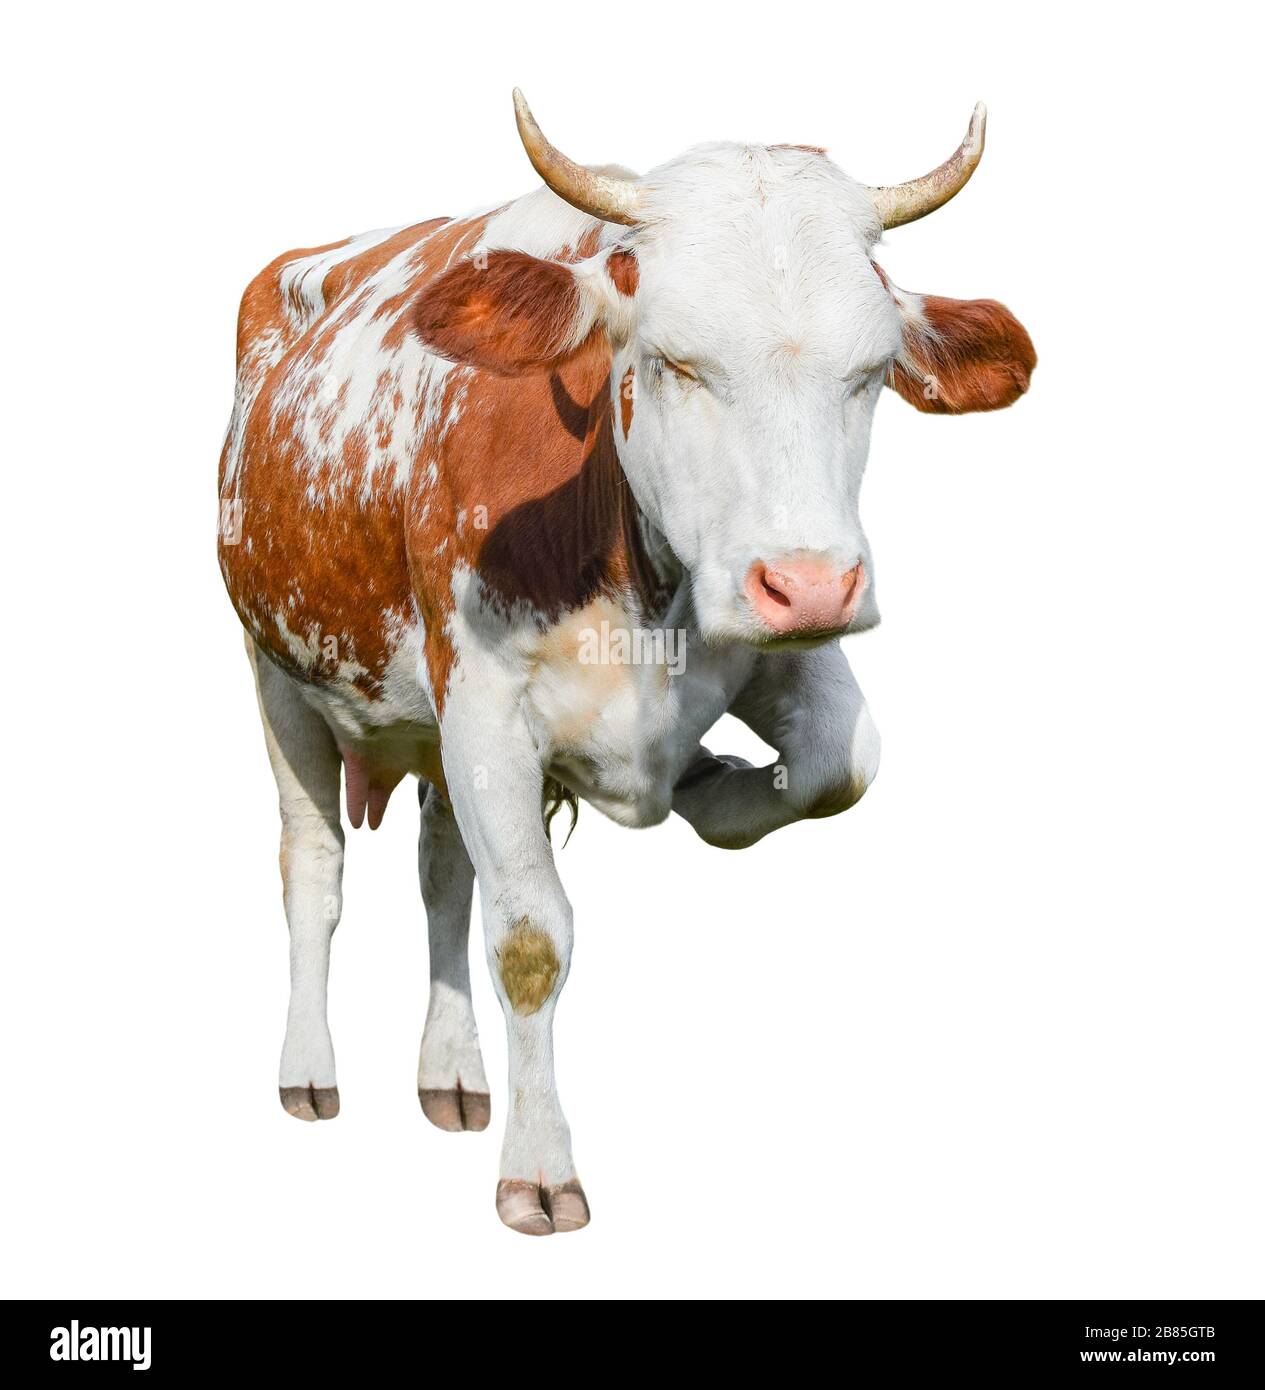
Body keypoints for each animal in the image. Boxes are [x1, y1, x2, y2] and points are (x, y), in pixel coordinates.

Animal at [218, 92, 1036, 1235]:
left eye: (870, 374)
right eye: (673, 360)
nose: (812, 585)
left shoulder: (756, 642)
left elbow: (842, 761)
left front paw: (710, 783)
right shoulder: (483, 702)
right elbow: (529, 940)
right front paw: (539, 1170)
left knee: (440, 876)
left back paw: (451, 1073)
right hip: (277, 668)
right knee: (315, 871)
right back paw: (308, 1071)